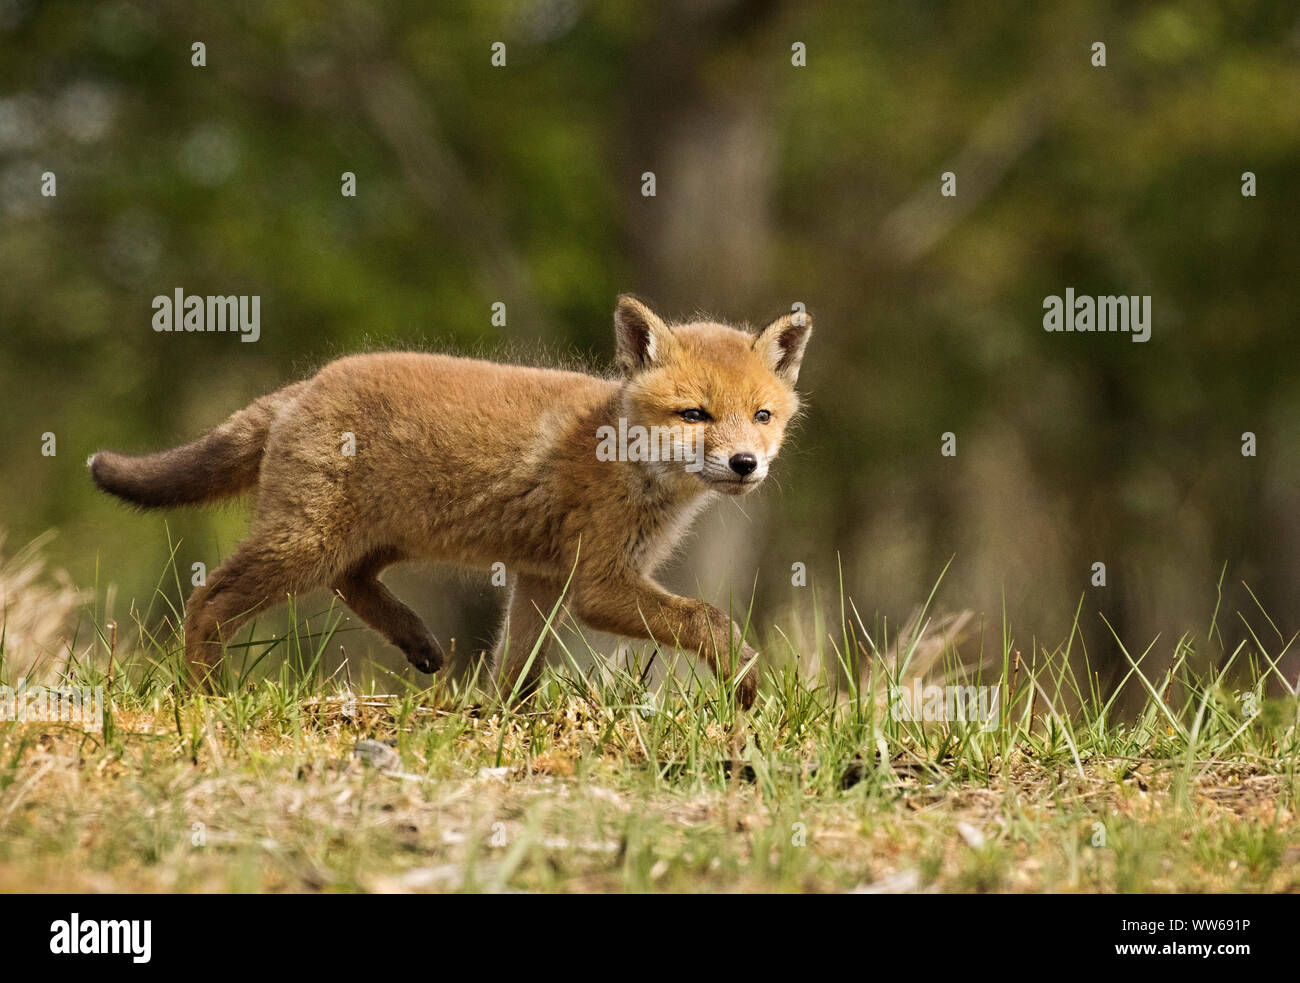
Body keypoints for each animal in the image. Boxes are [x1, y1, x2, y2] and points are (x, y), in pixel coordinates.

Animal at [89, 296, 812, 707]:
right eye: (695, 414)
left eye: (762, 416)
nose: (745, 464)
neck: (623, 455)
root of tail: (308, 384)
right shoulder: (597, 584)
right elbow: (709, 620)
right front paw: (745, 681)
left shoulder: (543, 579)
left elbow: (517, 668)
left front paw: (503, 721)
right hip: (305, 544)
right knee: (208, 601)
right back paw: (206, 695)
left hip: (368, 539)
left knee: (352, 583)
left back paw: (418, 642)